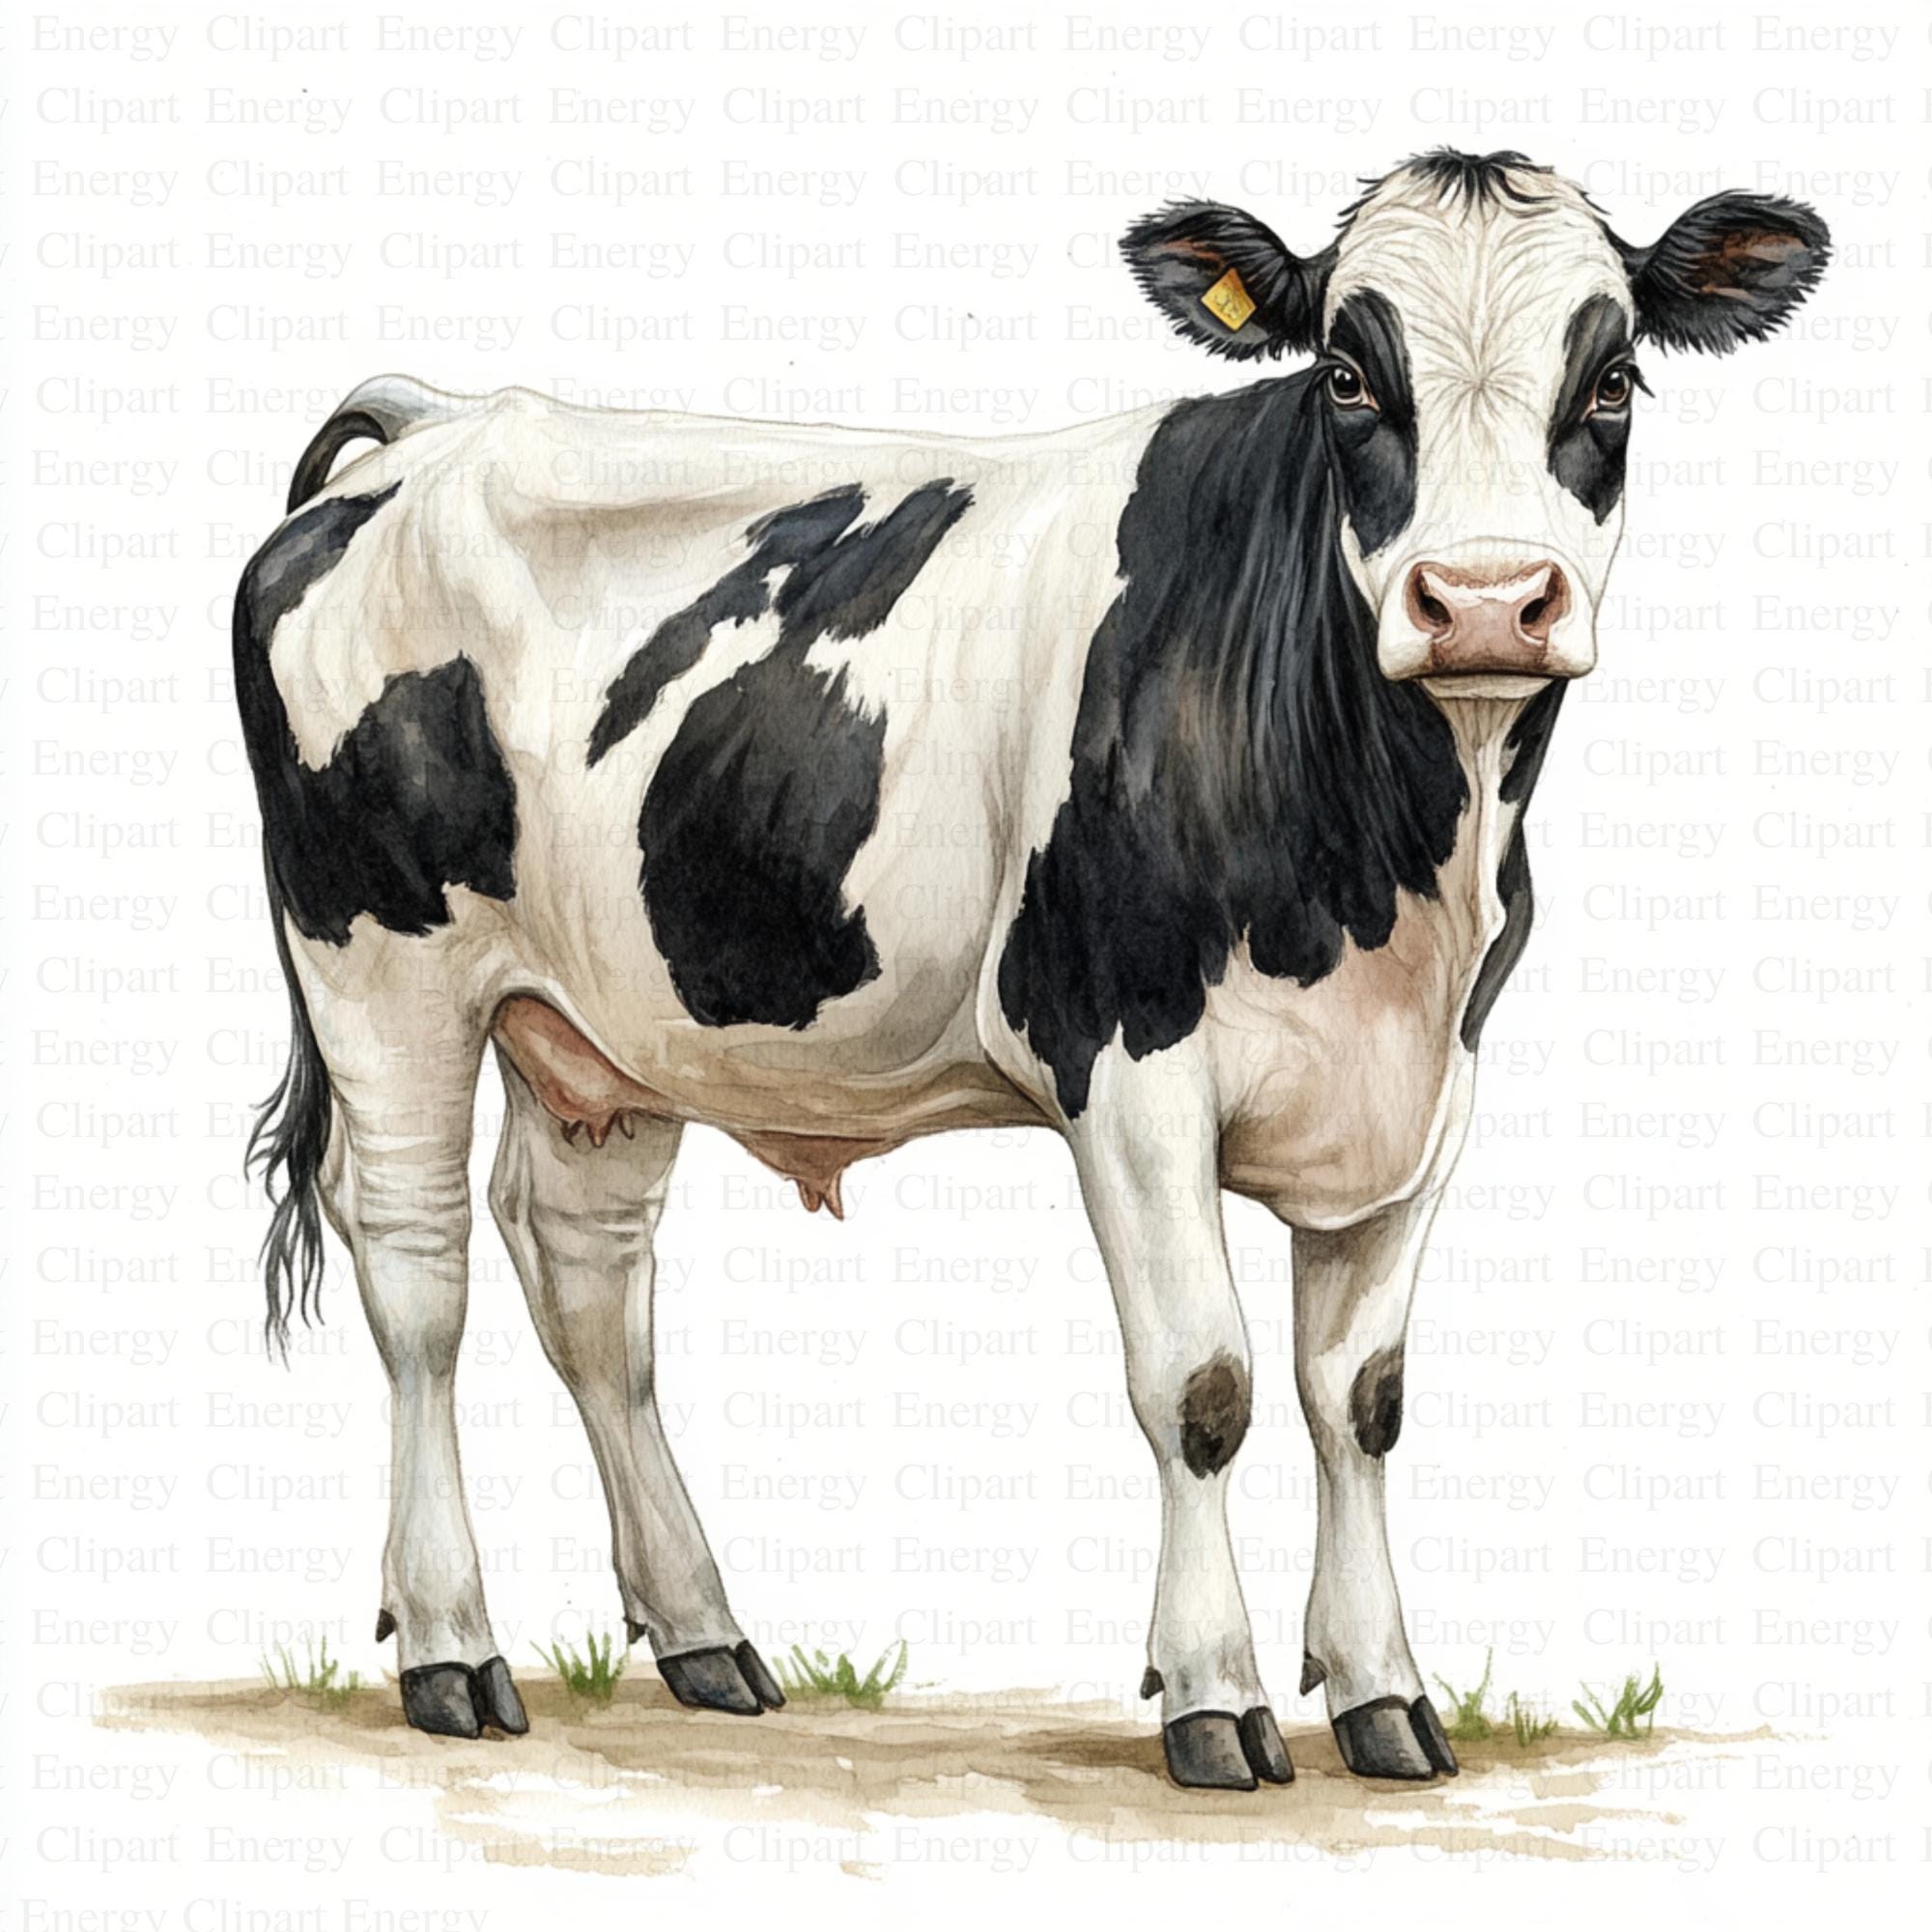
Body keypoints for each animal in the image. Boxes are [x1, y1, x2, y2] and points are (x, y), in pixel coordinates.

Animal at [234, 150, 1826, 1789]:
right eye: (1344, 374)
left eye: (1615, 376)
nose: (1489, 600)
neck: (1388, 882)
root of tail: (438, 426)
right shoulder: (1127, 1070)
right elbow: (1203, 1387)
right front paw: (1214, 1697)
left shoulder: (1427, 1090)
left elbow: (1361, 1403)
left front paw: (1384, 1694)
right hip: (381, 969)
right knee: (419, 1276)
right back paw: (450, 1647)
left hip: (613, 1028)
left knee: (593, 1288)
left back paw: (703, 1639)